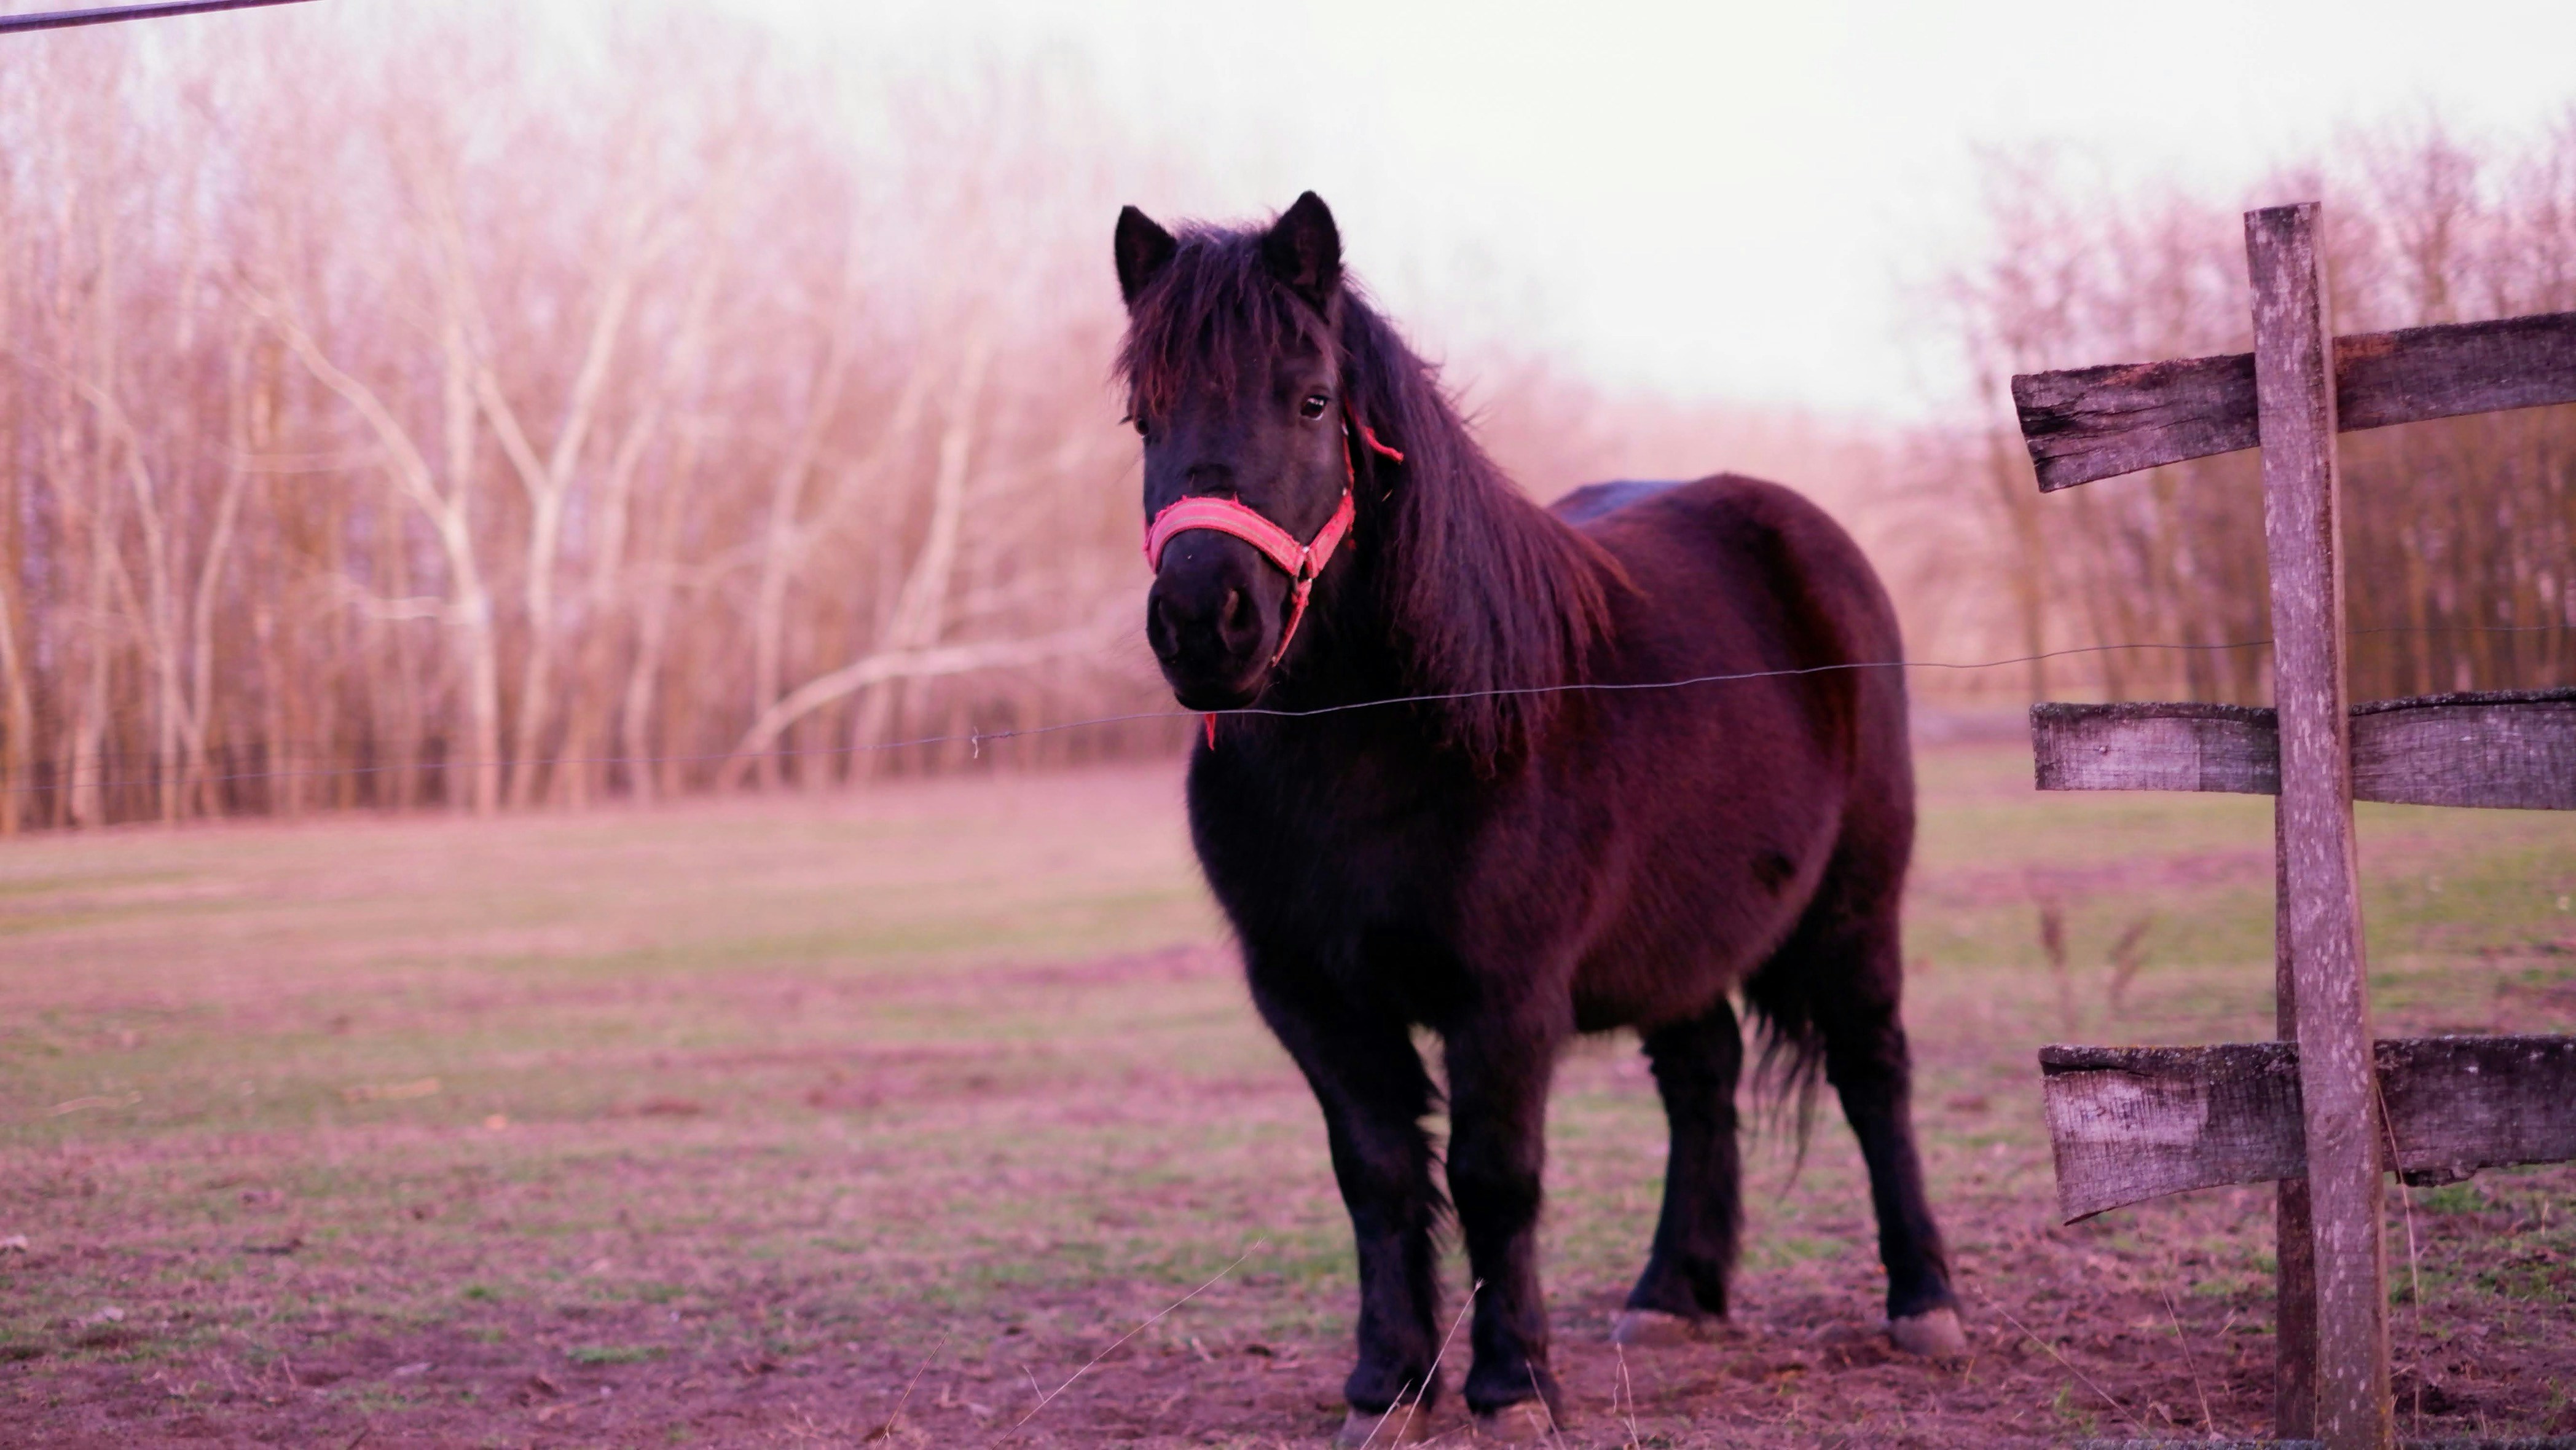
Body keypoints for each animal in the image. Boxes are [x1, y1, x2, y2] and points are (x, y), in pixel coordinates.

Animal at [1113, 192, 1963, 1444]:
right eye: (1145, 417)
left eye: (1309, 398)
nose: (1203, 622)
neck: (1383, 738)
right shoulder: (1310, 995)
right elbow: (1377, 1173)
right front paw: (1386, 1384)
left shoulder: (1506, 995)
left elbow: (1492, 1173)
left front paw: (1513, 1383)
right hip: (1681, 930)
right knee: (1702, 1072)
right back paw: (1672, 1294)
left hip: (1857, 901)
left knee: (1873, 1068)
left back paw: (1923, 1299)